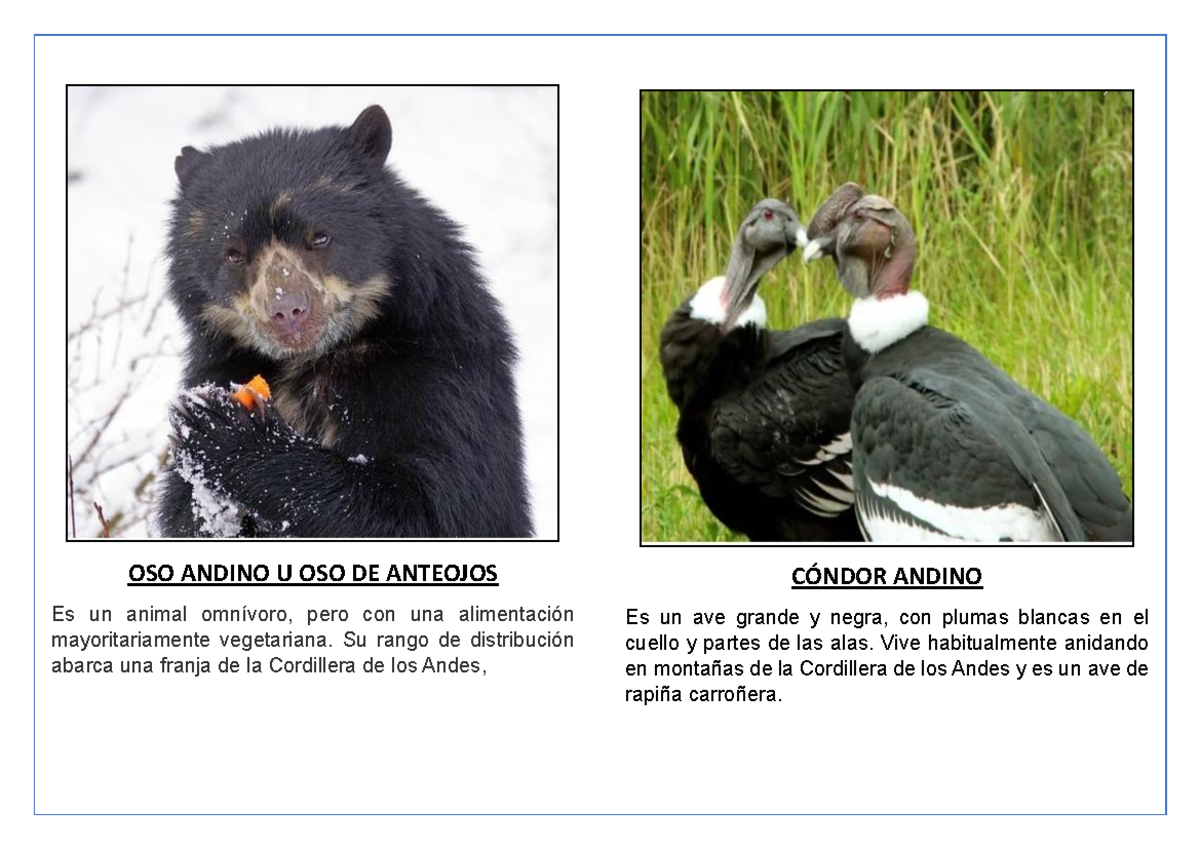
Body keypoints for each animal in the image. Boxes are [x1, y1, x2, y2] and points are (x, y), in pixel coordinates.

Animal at [155, 105, 532, 538]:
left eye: (320, 237)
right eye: (233, 253)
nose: (288, 312)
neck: (317, 359)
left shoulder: (440, 373)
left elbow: (436, 505)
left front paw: (222, 429)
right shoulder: (220, 362)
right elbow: (179, 514)